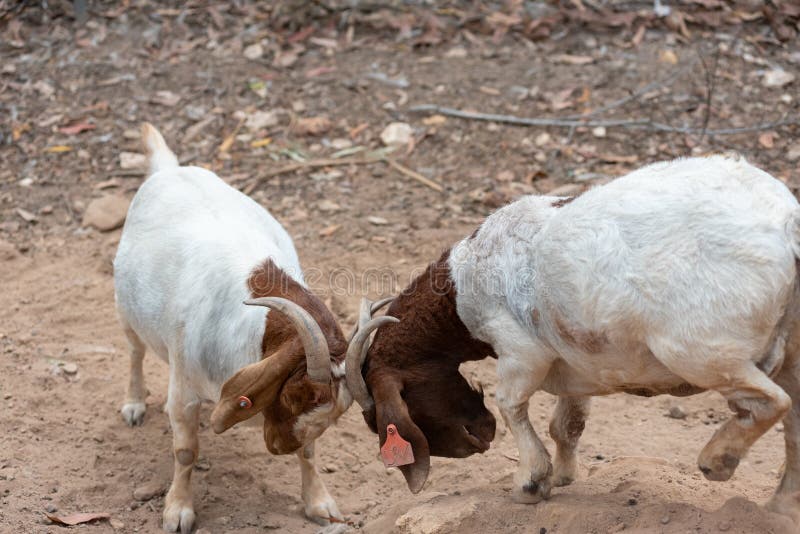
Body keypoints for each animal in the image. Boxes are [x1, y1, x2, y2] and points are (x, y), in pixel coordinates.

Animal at [114, 124, 350, 532]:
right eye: (293, 396)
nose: (278, 448)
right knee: (134, 352)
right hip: (126, 310)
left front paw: (318, 502)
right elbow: (186, 451)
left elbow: (310, 451)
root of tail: (168, 169)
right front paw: (178, 510)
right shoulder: (185, 389)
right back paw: (134, 404)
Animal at [347, 154, 800, 522]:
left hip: (701, 352)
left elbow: (511, 403)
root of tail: (786, 224)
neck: (462, 285)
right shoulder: (578, 362)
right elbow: (567, 424)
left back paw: (717, 460)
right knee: (793, 417)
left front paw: (531, 482)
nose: (480, 437)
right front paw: (563, 476)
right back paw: (780, 506)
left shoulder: (522, 353)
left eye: (386, 415)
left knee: (771, 402)